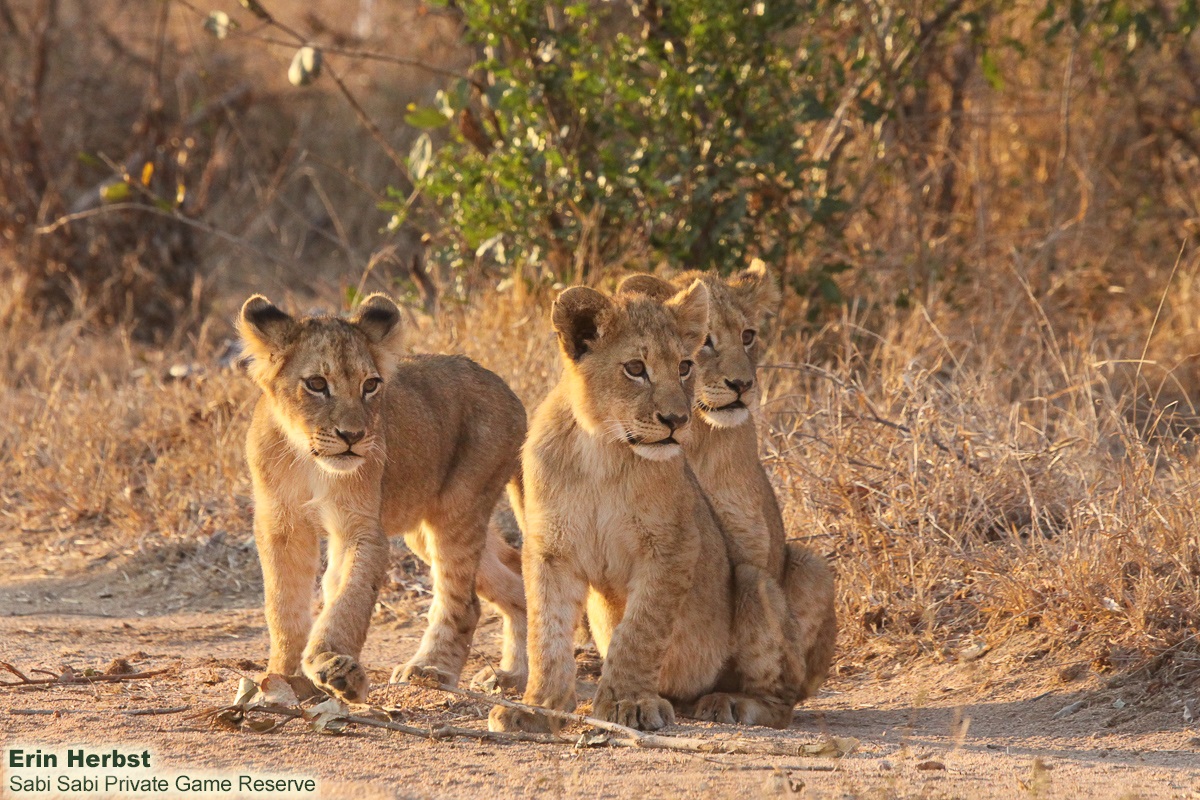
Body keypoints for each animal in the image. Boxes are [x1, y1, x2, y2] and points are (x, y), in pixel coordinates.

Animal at [239, 293, 528, 703]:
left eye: (371, 385)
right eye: (316, 383)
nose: (353, 436)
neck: (308, 458)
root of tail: (508, 390)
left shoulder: (360, 526)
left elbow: (349, 599)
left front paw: (336, 668)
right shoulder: (281, 525)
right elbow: (284, 606)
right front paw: (282, 677)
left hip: (459, 507)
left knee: (464, 601)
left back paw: (431, 670)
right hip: (425, 528)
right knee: (513, 577)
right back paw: (513, 675)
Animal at [489, 281, 800, 733]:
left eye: (685, 366)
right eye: (636, 368)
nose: (677, 420)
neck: (601, 451)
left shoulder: (673, 546)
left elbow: (640, 630)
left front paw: (628, 703)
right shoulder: (551, 550)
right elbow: (547, 633)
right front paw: (537, 708)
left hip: (753, 581)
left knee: (783, 699)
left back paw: (730, 702)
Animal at [617, 261, 837, 727]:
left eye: (748, 335)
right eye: (704, 341)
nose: (743, 383)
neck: (698, 439)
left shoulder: (750, 553)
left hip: (810, 565)